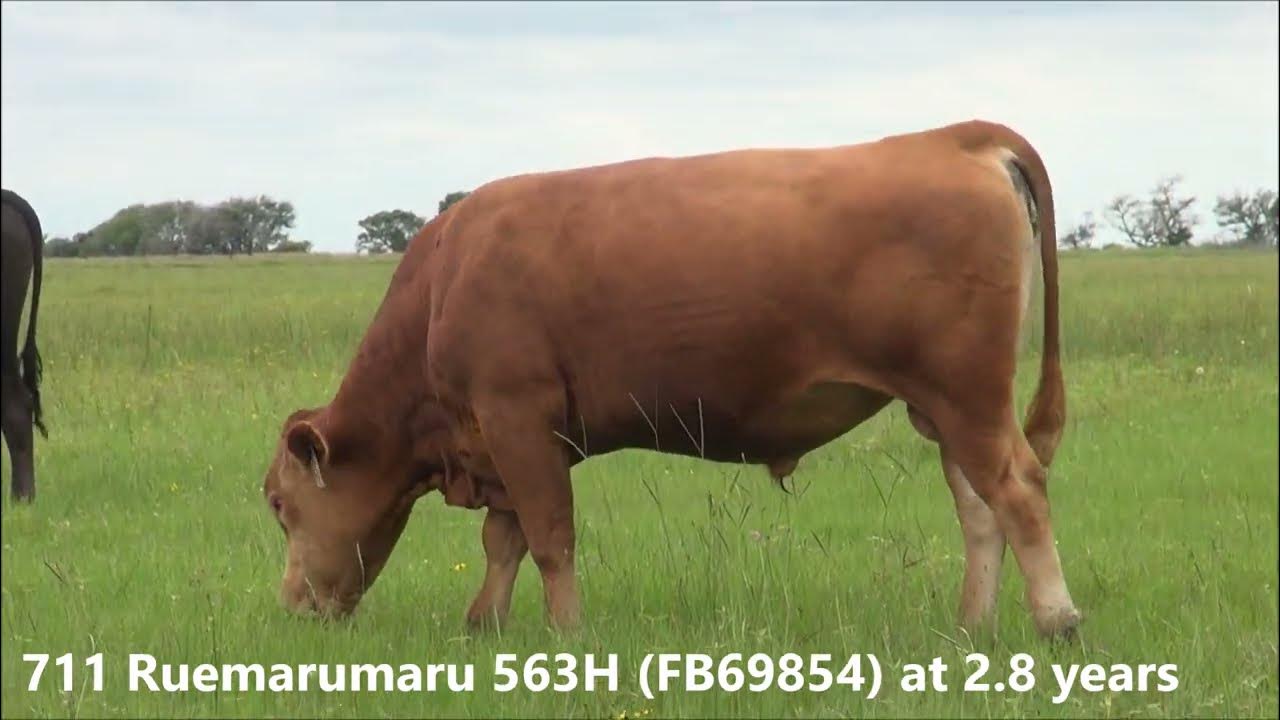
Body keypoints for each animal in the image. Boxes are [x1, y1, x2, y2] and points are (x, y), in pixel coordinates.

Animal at [261, 119, 1081, 639]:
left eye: (277, 503)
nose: (292, 606)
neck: (443, 282)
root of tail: (955, 136)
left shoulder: (517, 417)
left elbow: (549, 537)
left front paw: (567, 635)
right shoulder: (509, 440)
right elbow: (507, 539)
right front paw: (485, 624)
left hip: (969, 397)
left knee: (1019, 491)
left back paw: (1056, 620)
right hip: (945, 409)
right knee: (980, 509)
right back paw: (972, 626)